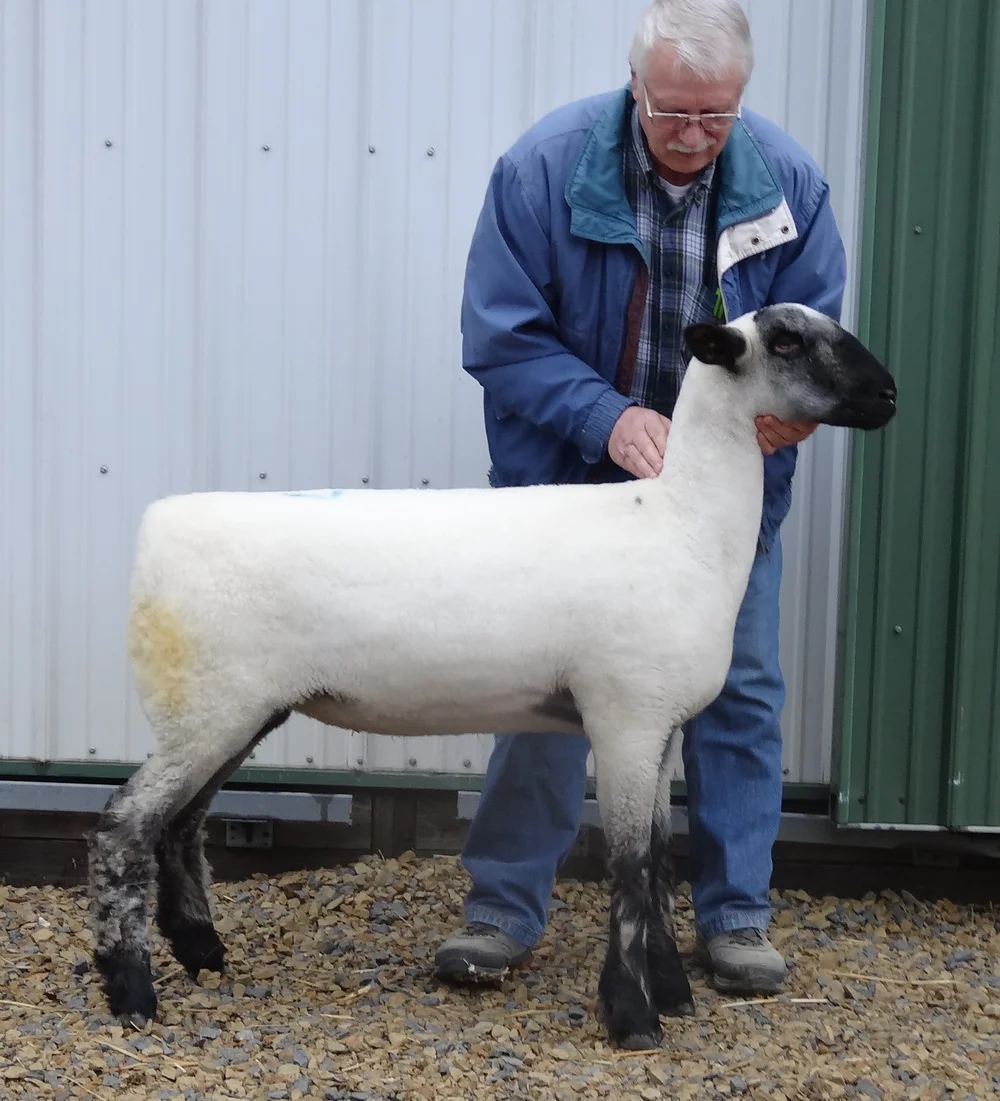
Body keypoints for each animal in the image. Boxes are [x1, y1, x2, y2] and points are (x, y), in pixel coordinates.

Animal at [87, 303, 896, 1049]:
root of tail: (156, 528)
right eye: (787, 341)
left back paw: (202, 952)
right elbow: (632, 868)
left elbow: (662, 862)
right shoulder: (625, 716)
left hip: (235, 709)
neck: (683, 525)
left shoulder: (662, 726)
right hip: (208, 704)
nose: (888, 395)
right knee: (126, 826)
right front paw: (633, 1017)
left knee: (181, 824)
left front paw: (669, 989)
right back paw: (131, 991)